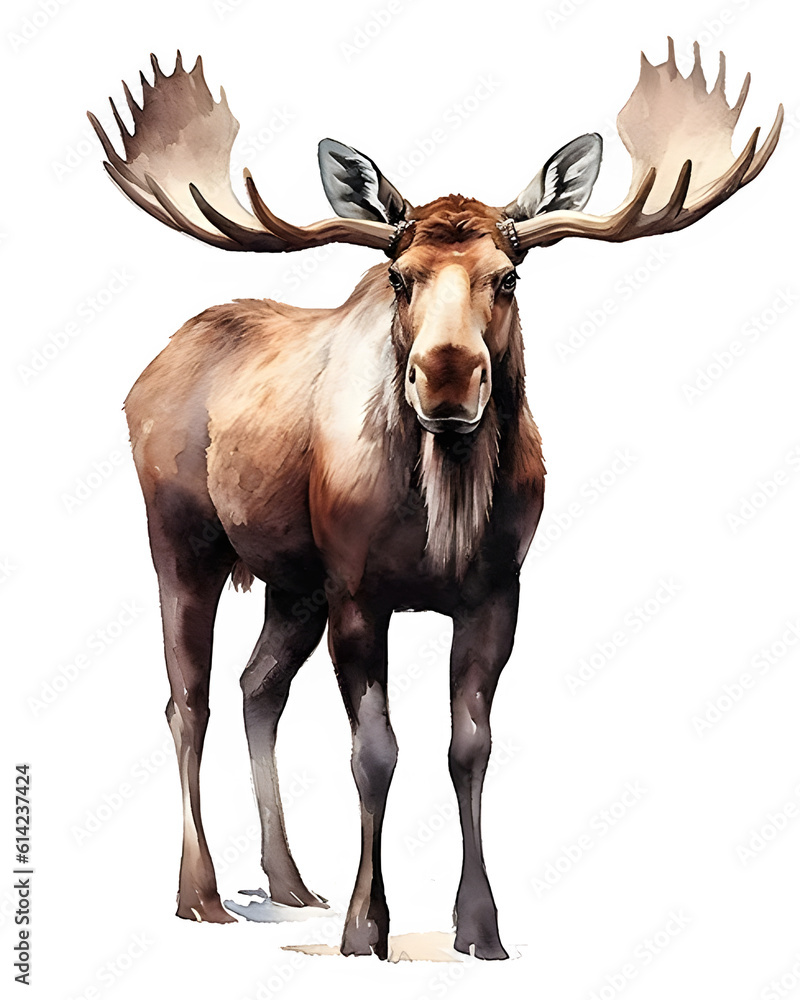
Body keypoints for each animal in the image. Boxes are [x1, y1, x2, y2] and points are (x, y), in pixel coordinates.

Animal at [89, 39, 781, 960]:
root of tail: (147, 373)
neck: (445, 513)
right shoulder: (357, 589)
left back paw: (289, 880)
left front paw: (480, 928)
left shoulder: (494, 594)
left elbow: (470, 747)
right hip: (185, 540)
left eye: (509, 275)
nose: (448, 379)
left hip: (292, 582)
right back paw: (199, 893)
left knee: (256, 686)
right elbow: (374, 752)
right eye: (398, 276)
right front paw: (366, 928)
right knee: (186, 698)